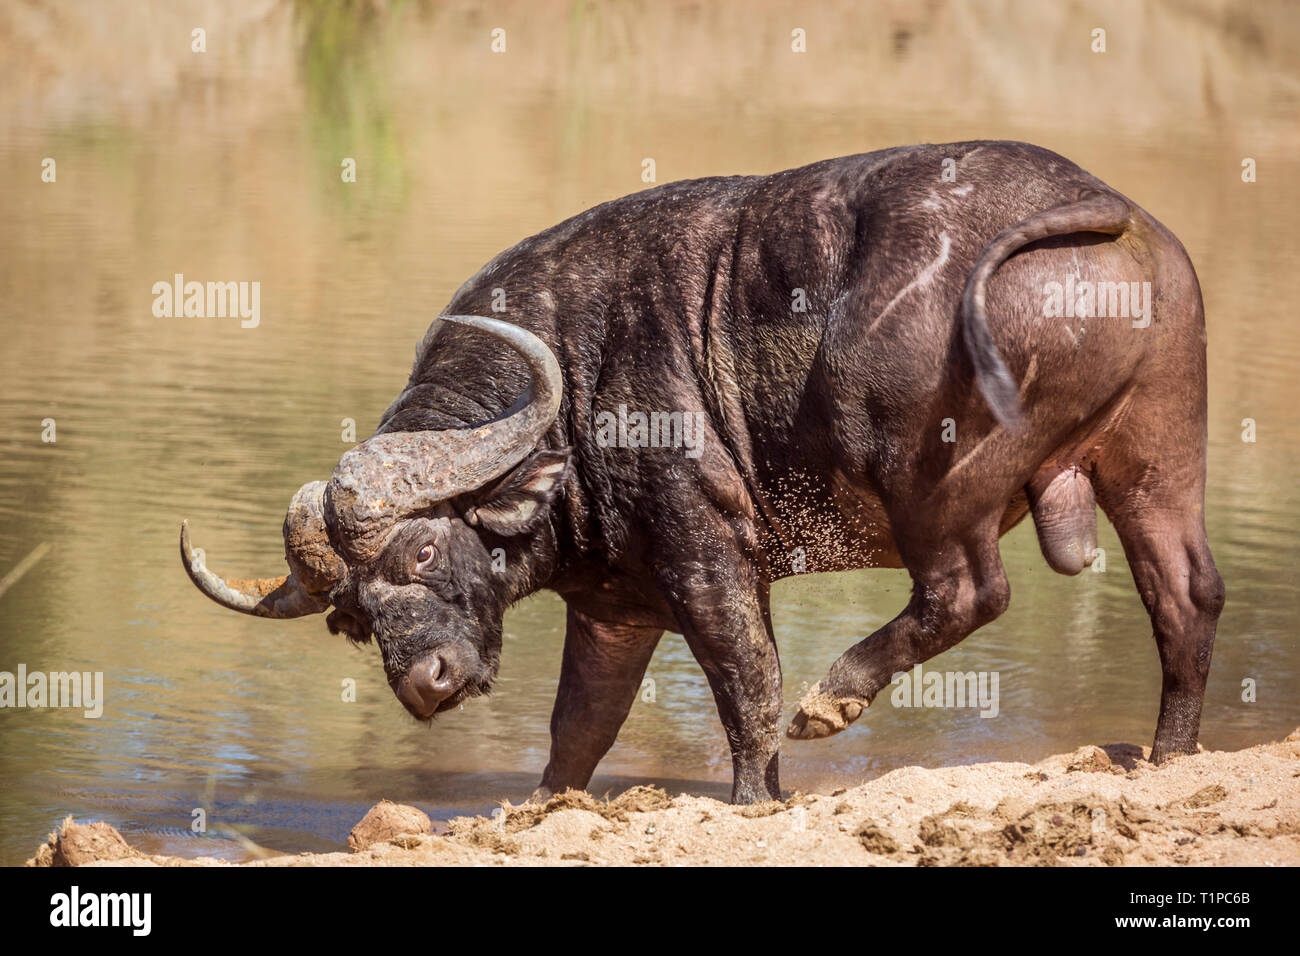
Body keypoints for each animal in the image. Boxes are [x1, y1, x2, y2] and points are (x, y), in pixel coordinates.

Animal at [182, 141, 1224, 804]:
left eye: (425, 553)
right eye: (353, 620)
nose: (426, 684)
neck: (576, 395)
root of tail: (1096, 204)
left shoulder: (710, 561)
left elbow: (747, 685)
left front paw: (755, 797)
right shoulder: (616, 612)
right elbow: (579, 727)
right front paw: (544, 804)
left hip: (932, 481)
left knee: (969, 589)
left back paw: (834, 696)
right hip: (1155, 464)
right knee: (1187, 595)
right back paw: (1168, 760)